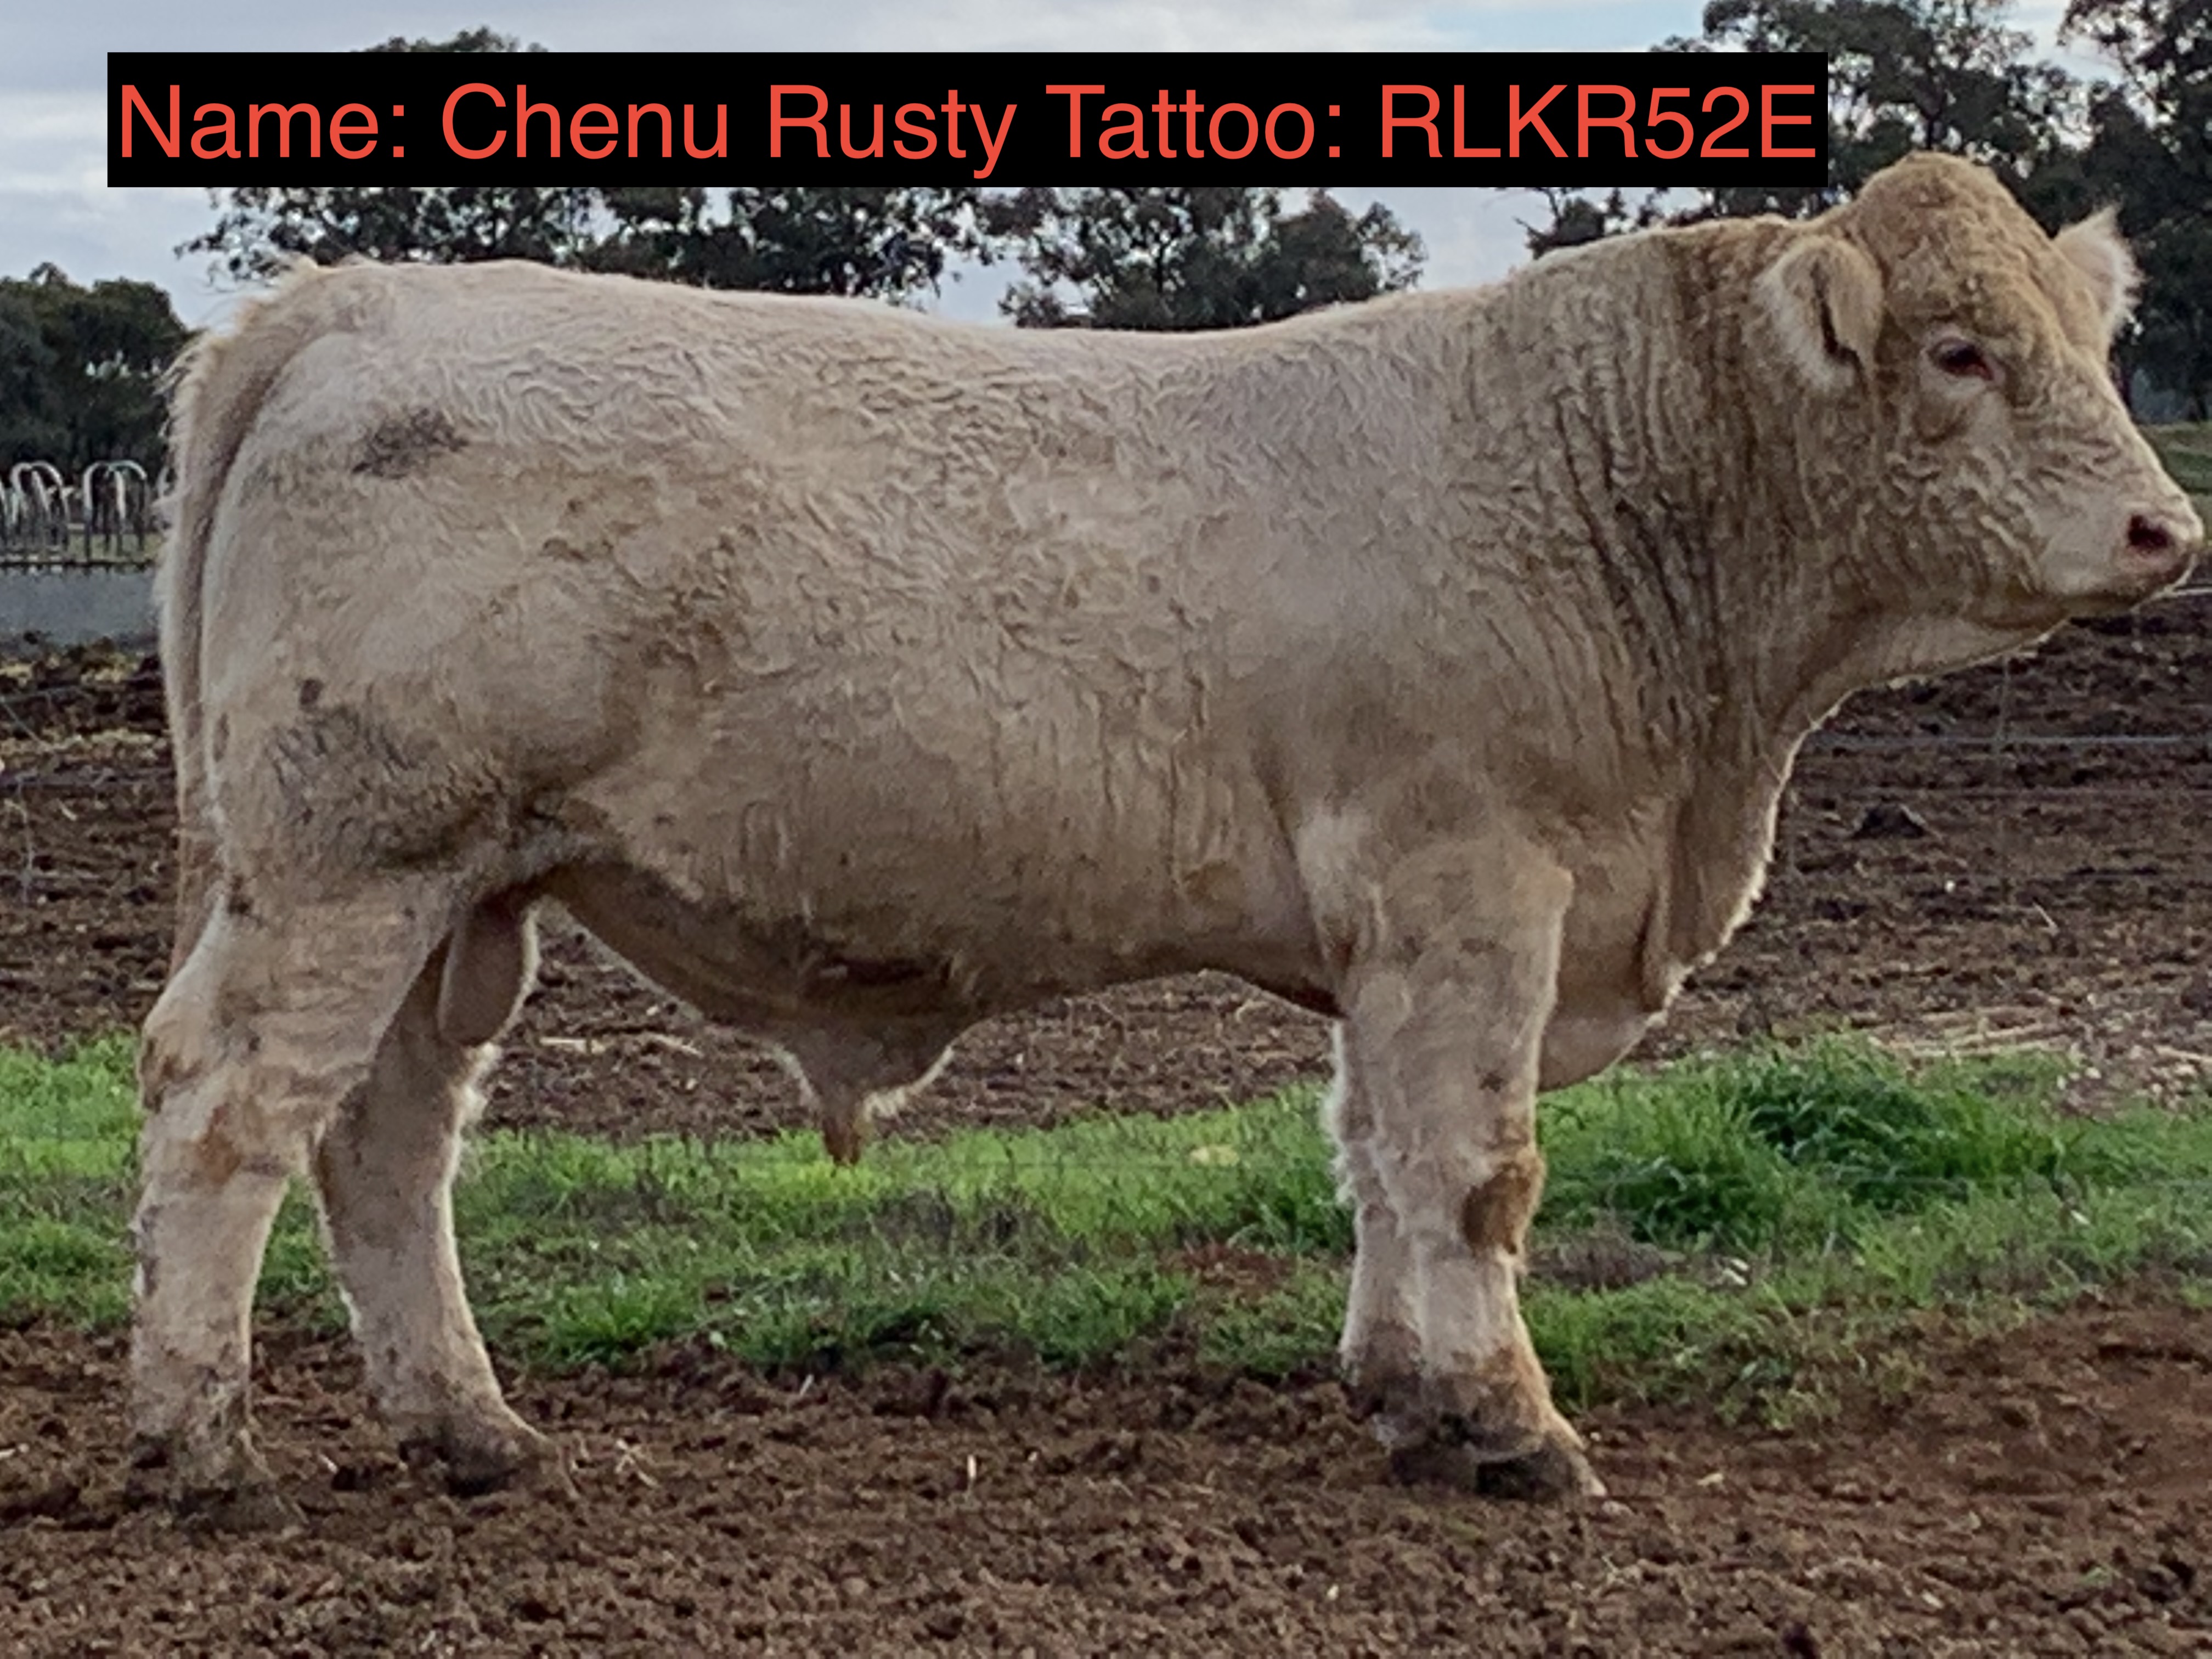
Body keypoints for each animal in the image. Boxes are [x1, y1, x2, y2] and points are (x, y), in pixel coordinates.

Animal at [129, 152, 2202, 1519]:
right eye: (1959, 352)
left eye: (2087, 341)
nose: (2163, 532)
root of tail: (350, 298)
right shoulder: (1472, 885)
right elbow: (1473, 1168)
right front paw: (1516, 1426)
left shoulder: (1398, 934)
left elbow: (1375, 1153)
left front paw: (1403, 1395)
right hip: (346, 862)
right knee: (223, 1107)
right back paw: (200, 1446)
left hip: (459, 895)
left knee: (387, 1144)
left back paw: (468, 1431)